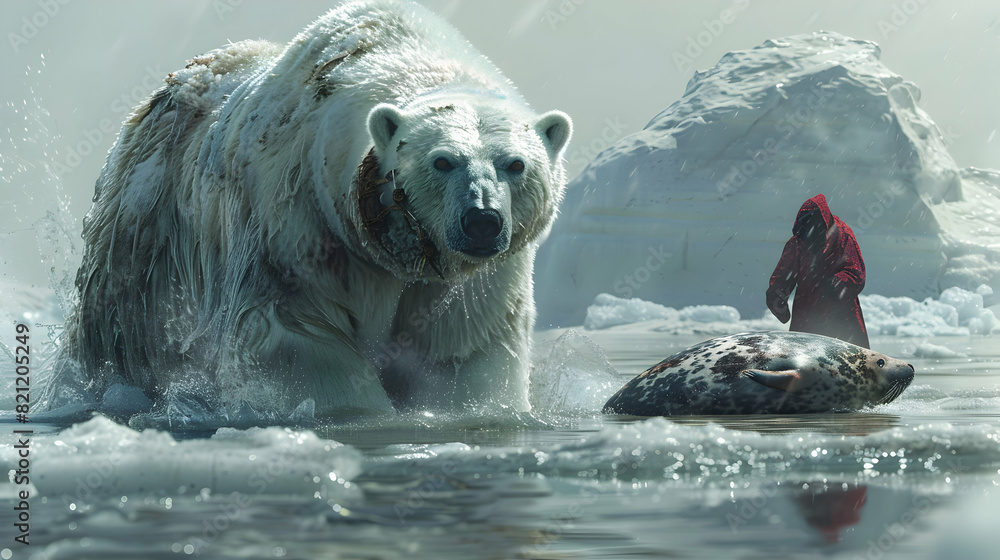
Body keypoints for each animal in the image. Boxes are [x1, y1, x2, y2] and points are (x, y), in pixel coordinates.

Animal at [57, 0, 572, 419]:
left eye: (515, 164)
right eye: (442, 161)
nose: (482, 220)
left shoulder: (470, 280)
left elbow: (461, 348)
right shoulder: (297, 221)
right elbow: (294, 335)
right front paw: (358, 410)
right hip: (146, 246)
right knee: (124, 333)